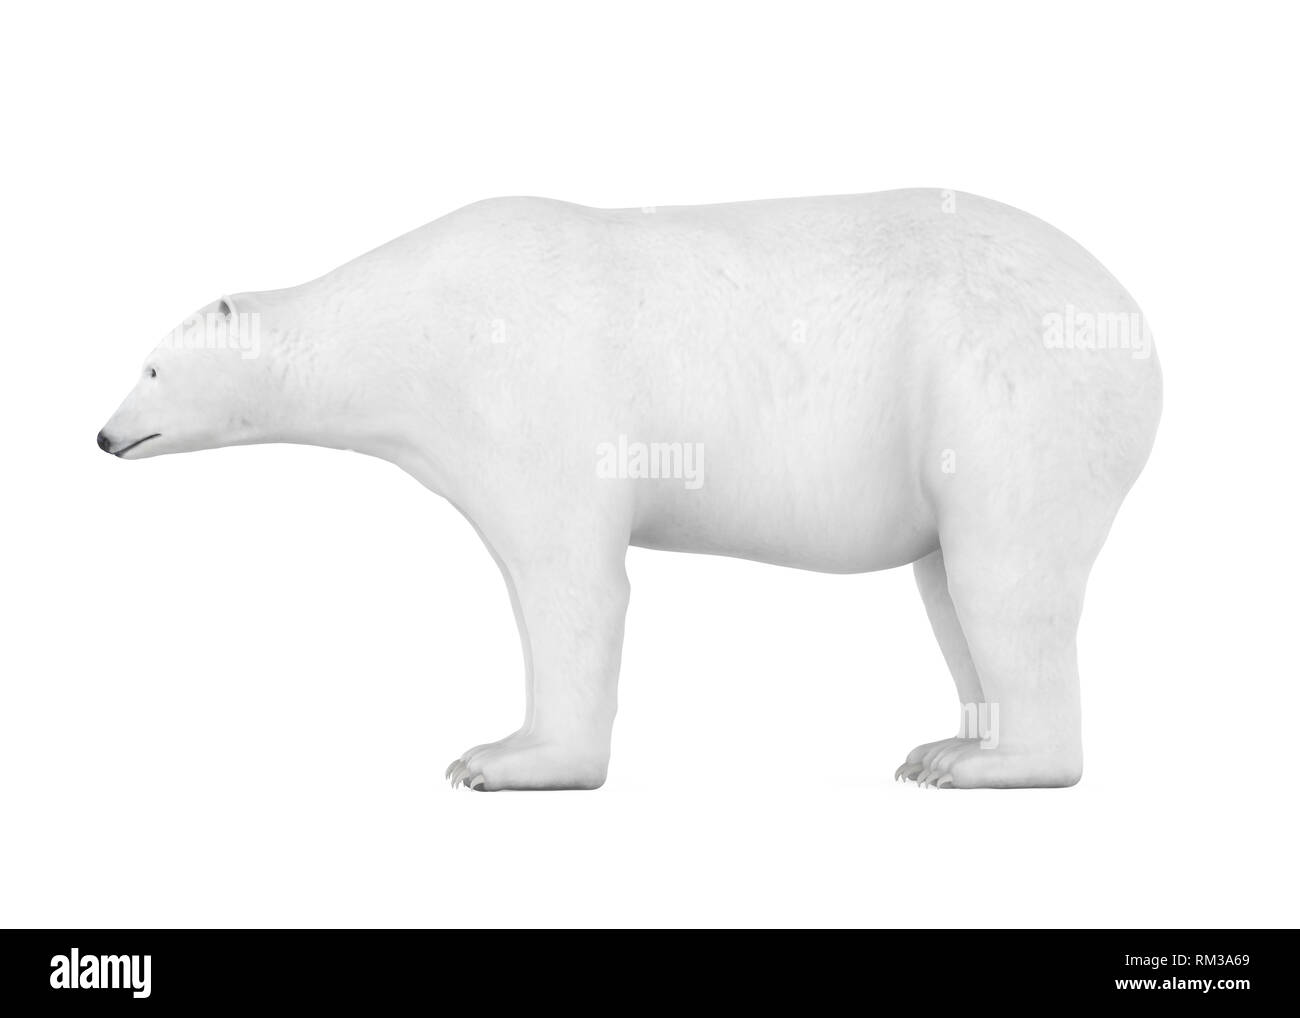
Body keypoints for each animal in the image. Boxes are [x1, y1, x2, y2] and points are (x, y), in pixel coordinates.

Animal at [97, 189, 1162, 790]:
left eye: (149, 368)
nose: (103, 434)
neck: (414, 325)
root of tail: (1137, 329)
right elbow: (525, 590)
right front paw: (507, 739)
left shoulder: (535, 400)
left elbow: (574, 585)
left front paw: (510, 766)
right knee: (949, 588)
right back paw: (944, 748)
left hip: (1001, 394)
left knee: (1001, 579)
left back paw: (999, 764)